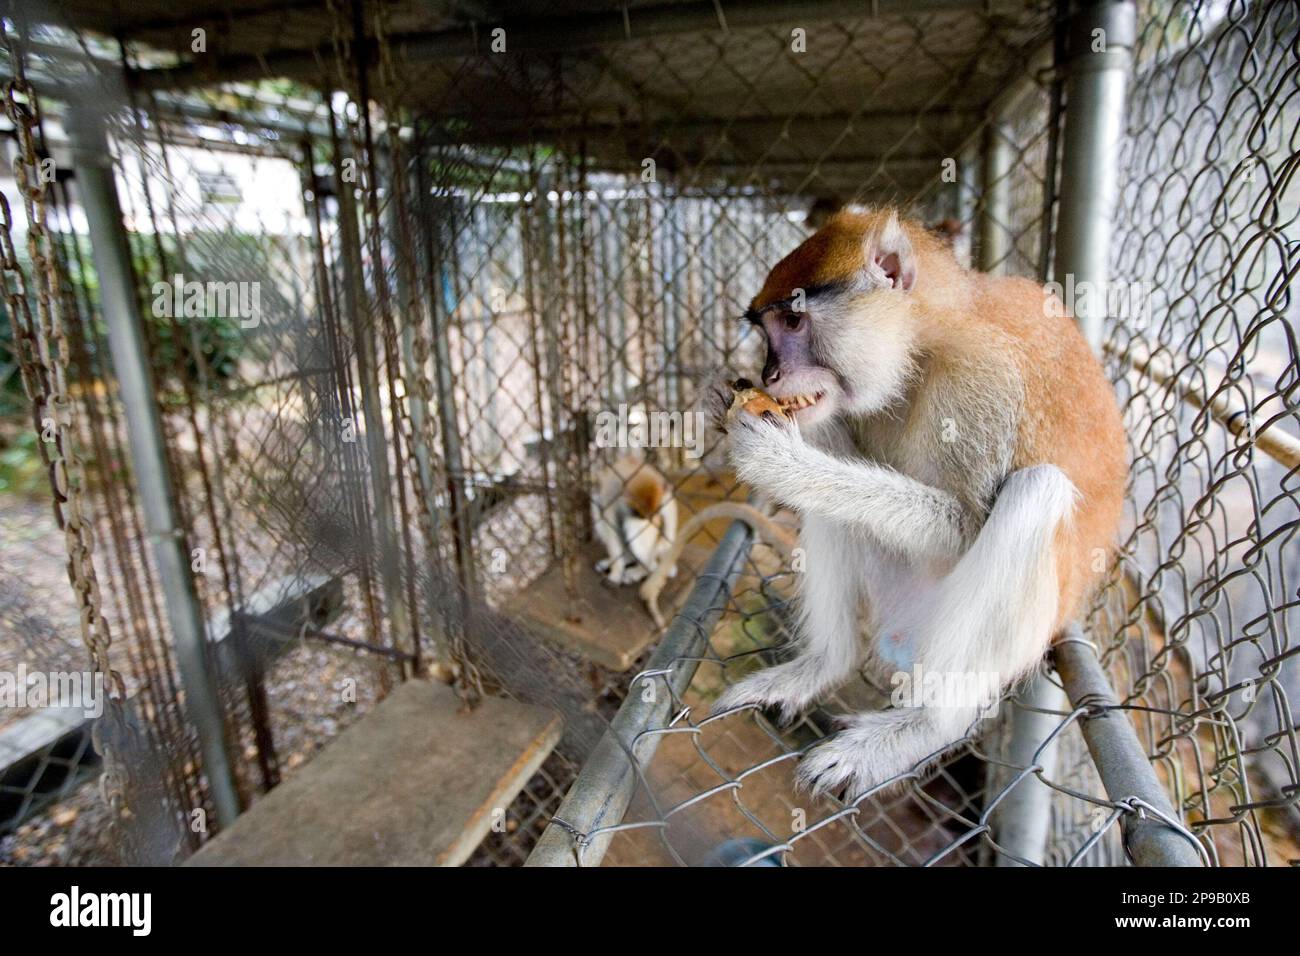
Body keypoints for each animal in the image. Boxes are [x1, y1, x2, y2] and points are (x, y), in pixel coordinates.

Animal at [591, 451, 679, 586]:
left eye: (648, 515)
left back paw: (645, 569)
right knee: (597, 506)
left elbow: (670, 507)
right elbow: (609, 523)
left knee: (634, 525)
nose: (648, 518)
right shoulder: (610, 492)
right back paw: (627, 559)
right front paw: (616, 571)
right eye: (638, 512)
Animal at [709, 207, 1127, 800]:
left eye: (792, 322)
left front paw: (777, 458)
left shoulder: (981, 383)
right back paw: (826, 663)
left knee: (1036, 491)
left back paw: (927, 726)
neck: (925, 335)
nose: (769, 375)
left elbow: (965, 529)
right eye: (766, 330)